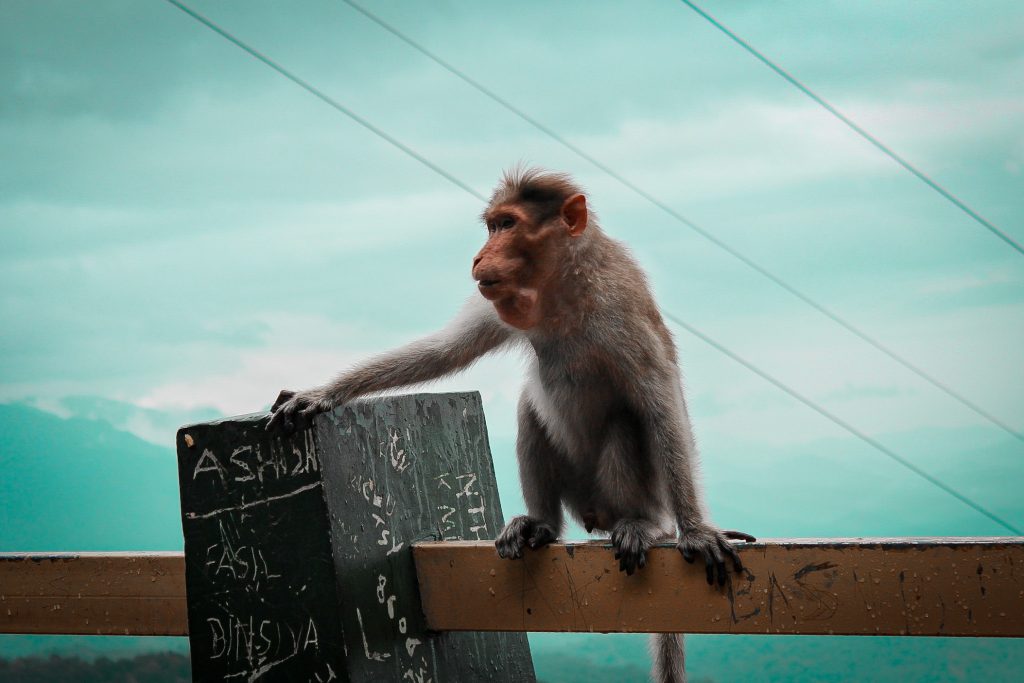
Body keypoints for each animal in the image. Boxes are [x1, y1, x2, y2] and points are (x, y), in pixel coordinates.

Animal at [267, 168, 754, 683]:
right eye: (492, 226)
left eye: (508, 224)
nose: (480, 256)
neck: (560, 289)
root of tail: (596, 515)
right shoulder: (502, 297)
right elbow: (444, 351)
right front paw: (321, 393)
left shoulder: (619, 302)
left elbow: (659, 399)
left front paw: (696, 530)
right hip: (577, 492)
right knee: (529, 409)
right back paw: (542, 526)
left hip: (629, 492)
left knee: (625, 421)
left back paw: (649, 526)